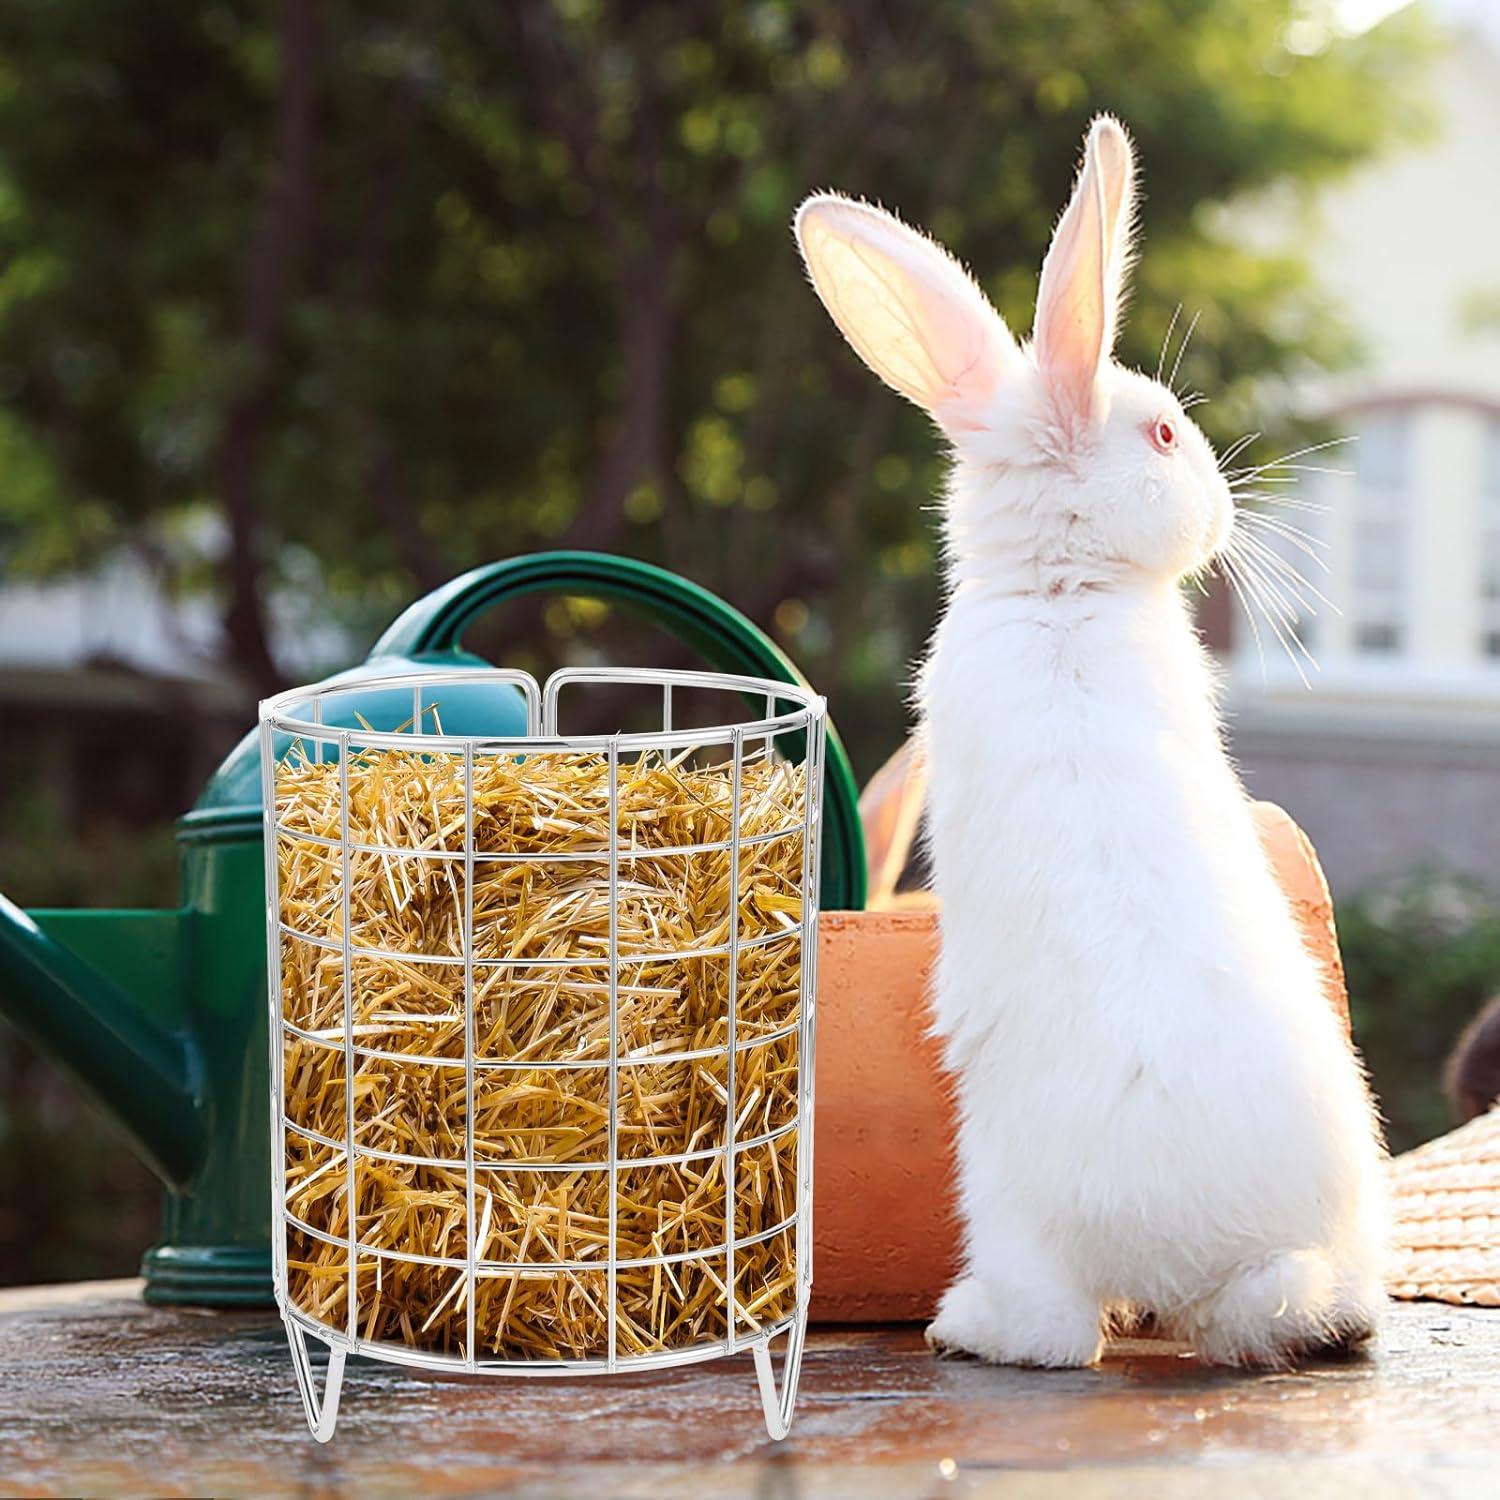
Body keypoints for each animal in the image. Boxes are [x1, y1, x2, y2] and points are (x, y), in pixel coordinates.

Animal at [793, 115, 1388, 1369]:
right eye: (1164, 433)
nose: (1221, 503)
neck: (1063, 587)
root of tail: (1213, 1261)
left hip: (1005, 1204)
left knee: (1057, 1335)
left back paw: (961, 1329)